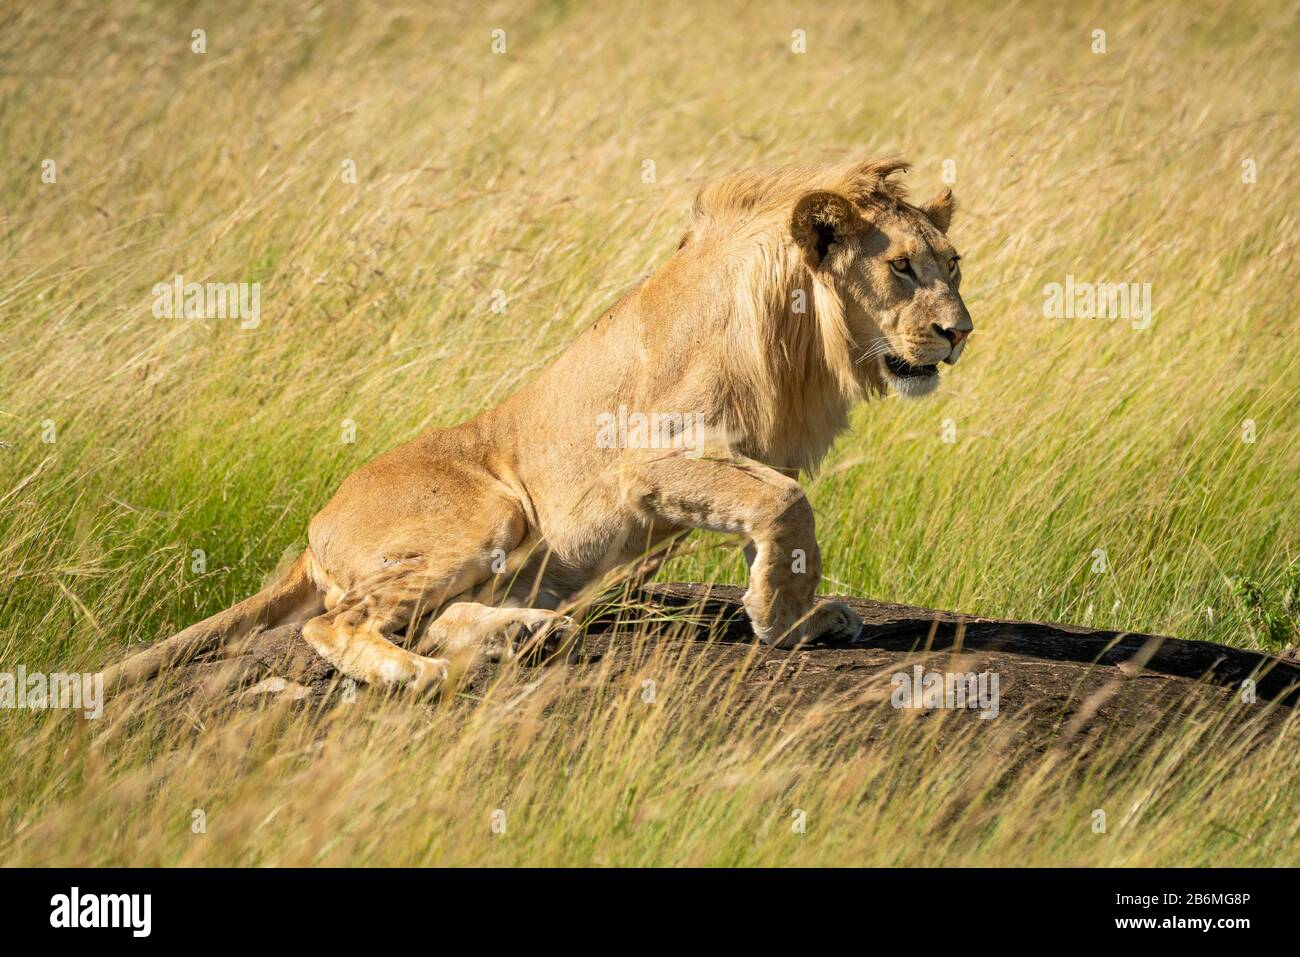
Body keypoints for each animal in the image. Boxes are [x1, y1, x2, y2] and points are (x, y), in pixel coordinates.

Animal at [105, 156, 972, 694]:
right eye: (900, 266)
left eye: (954, 264)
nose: (960, 331)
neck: (806, 340)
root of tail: (314, 531)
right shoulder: (647, 457)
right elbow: (789, 509)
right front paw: (775, 616)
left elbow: (780, 522)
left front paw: (797, 619)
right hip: (490, 508)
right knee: (337, 622)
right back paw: (421, 674)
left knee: (432, 616)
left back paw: (530, 633)